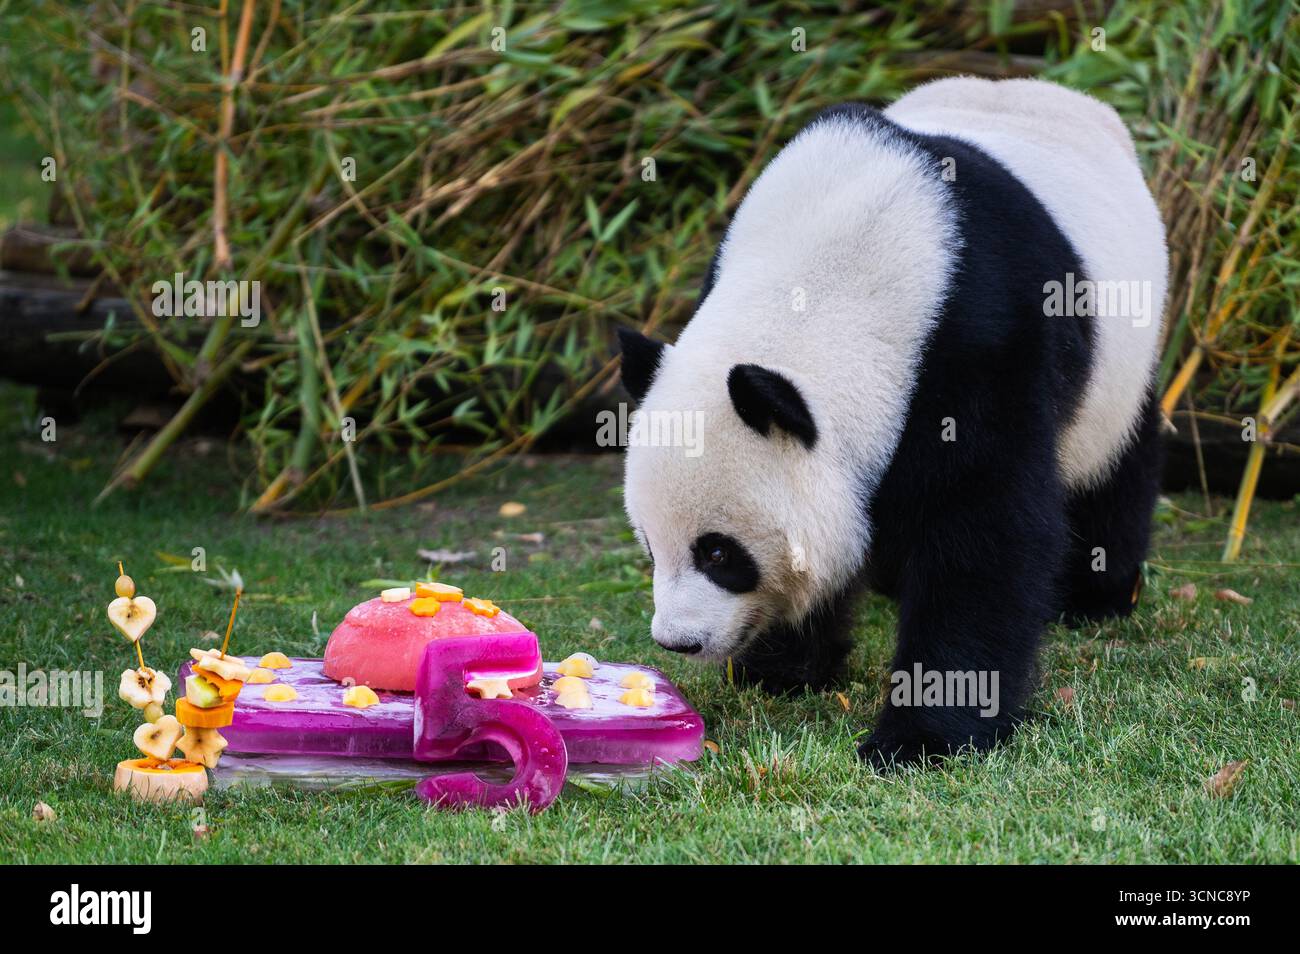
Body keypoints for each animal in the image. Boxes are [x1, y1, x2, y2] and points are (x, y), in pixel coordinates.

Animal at [617, 77, 1168, 767]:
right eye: (648, 543)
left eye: (719, 553)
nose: (678, 642)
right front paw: (781, 668)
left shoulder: (979, 345)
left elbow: (986, 535)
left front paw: (920, 737)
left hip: (1123, 361)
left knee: (1116, 464)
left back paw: (1096, 596)